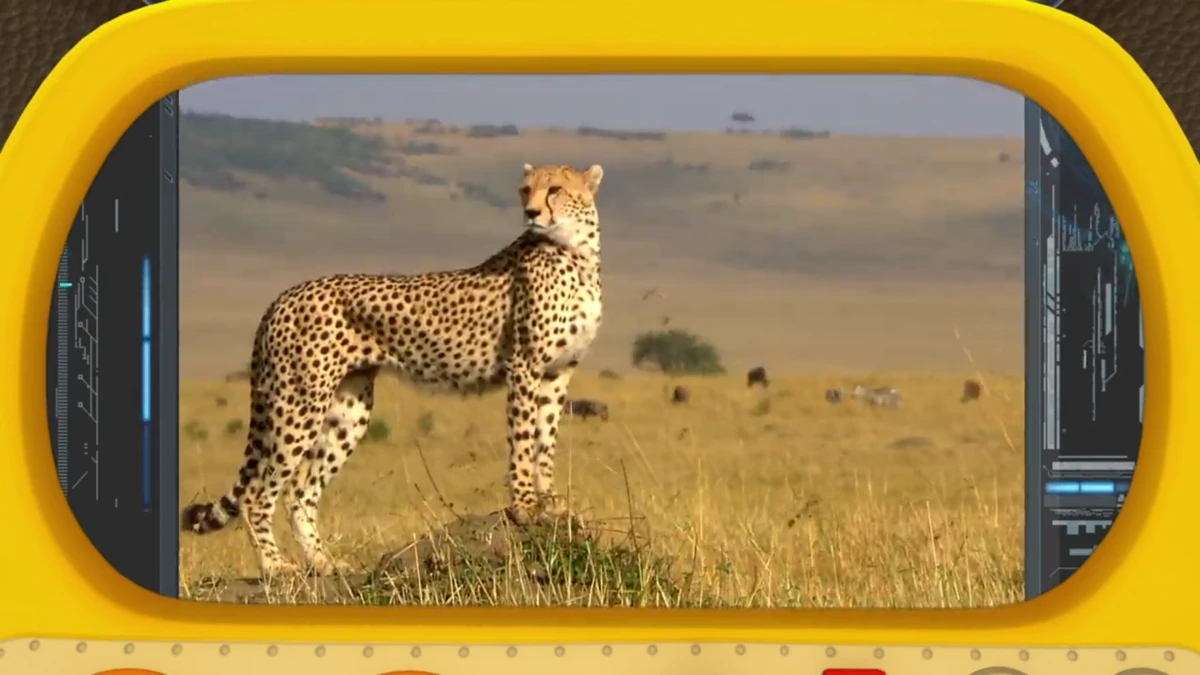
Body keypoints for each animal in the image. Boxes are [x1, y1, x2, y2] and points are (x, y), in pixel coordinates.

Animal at [180, 163, 605, 578]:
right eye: (525, 189)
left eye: (554, 189)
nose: (531, 213)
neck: (576, 252)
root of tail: (284, 296)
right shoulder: (524, 366)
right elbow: (522, 439)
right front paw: (524, 506)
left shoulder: (557, 373)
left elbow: (545, 442)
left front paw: (550, 504)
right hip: (299, 404)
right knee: (257, 495)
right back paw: (275, 567)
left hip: (348, 411)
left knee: (300, 491)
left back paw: (322, 562)